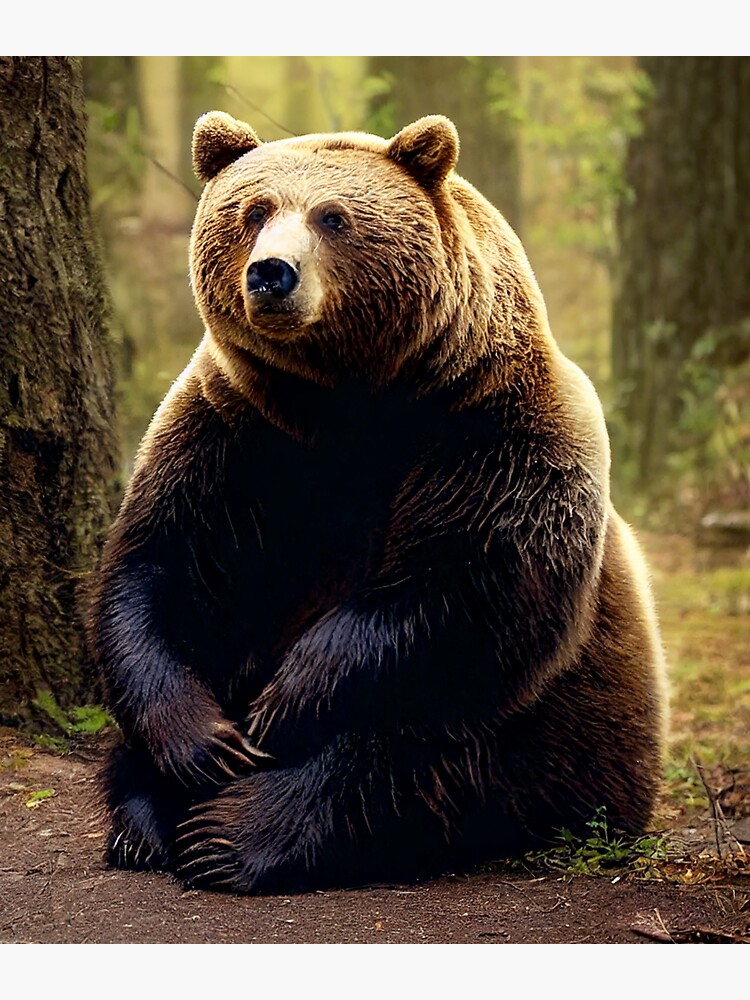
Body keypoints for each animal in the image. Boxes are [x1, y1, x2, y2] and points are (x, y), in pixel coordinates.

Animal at [88, 111, 668, 894]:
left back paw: (232, 833)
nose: (271, 273)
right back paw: (147, 823)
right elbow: (161, 568)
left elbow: (459, 588)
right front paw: (205, 743)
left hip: (569, 724)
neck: (344, 405)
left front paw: (282, 702)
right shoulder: (232, 433)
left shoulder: (492, 430)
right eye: (254, 211)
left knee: (424, 760)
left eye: (333, 216)